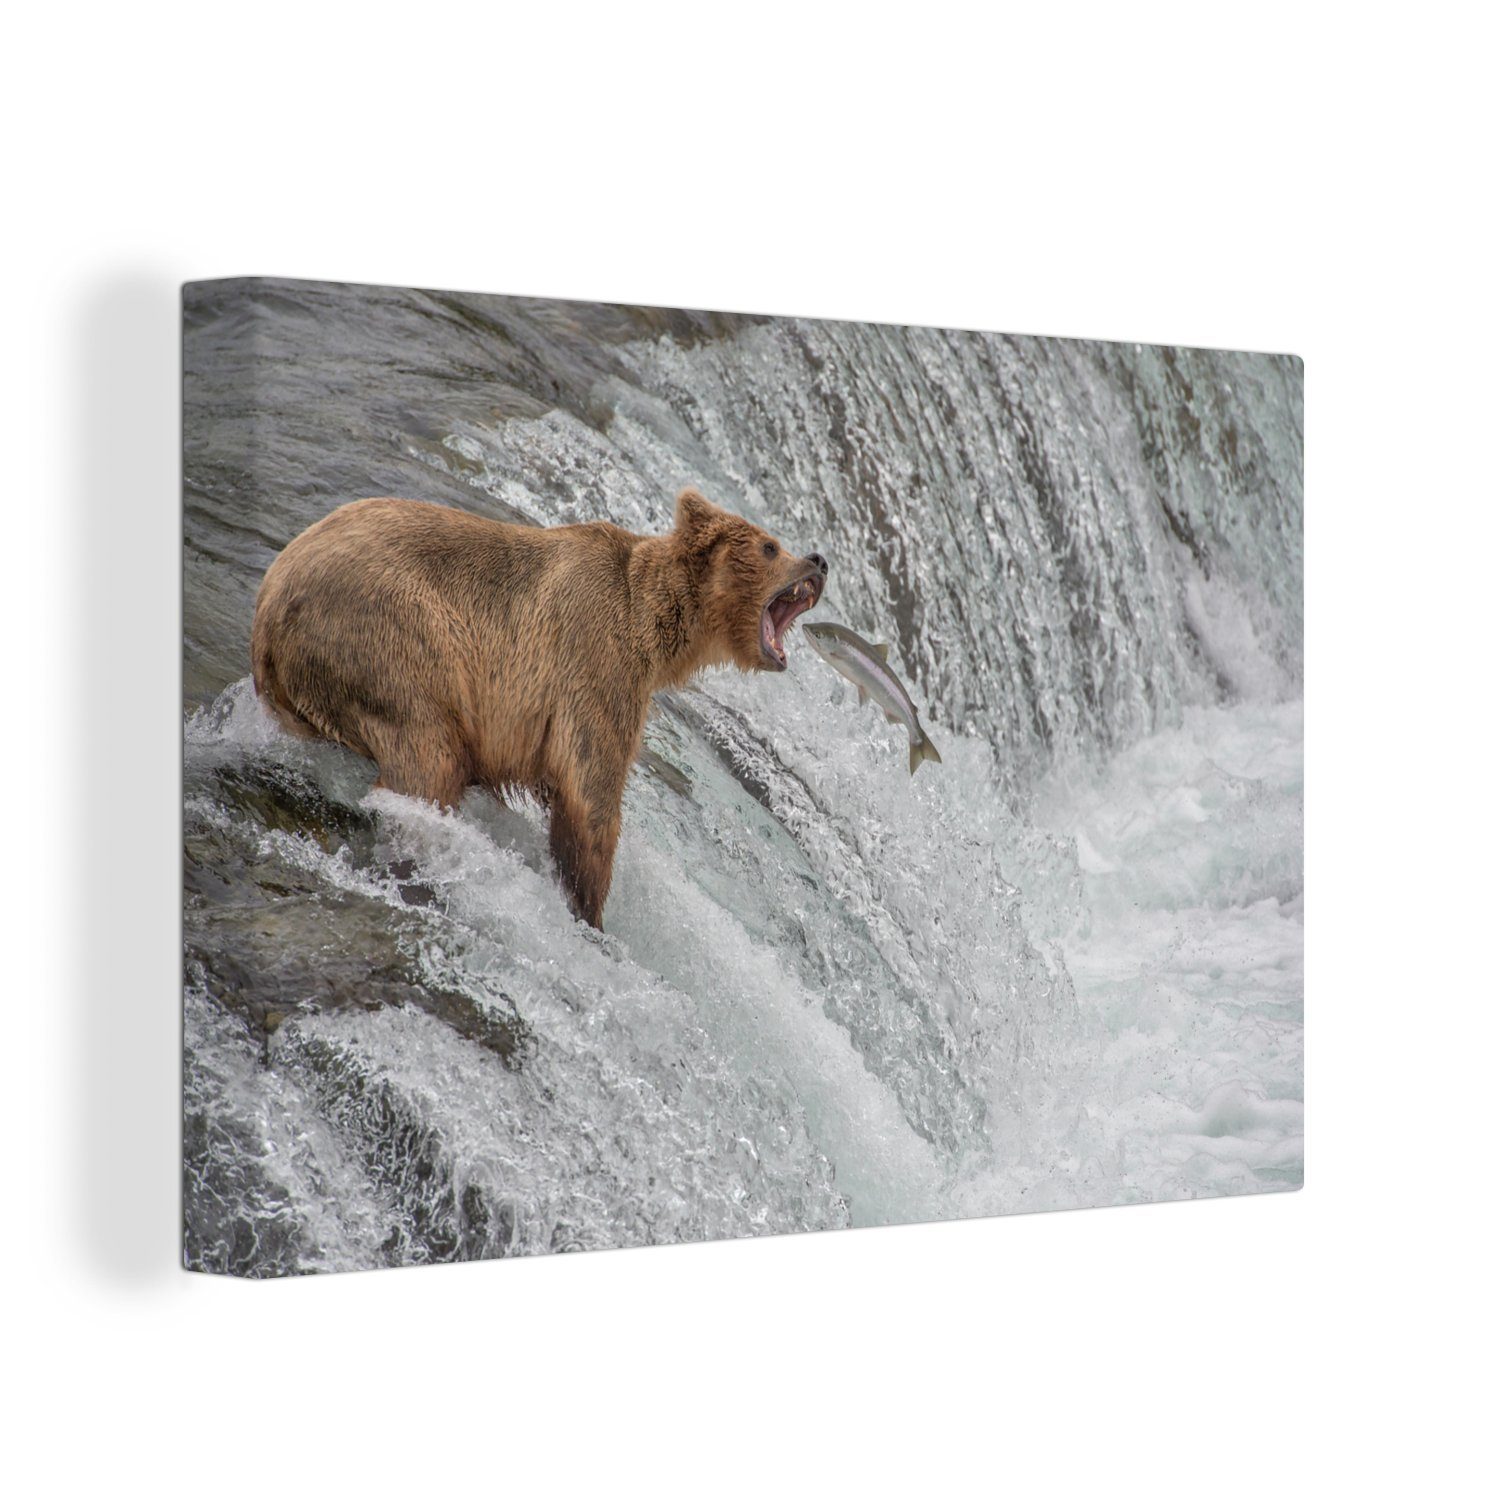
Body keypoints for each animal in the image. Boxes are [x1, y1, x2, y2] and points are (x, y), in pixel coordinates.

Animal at [250, 488, 828, 928]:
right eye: (770, 545)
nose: (819, 560)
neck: (652, 625)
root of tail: (268, 607)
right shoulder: (595, 659)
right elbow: (589, 792)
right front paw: (589, 910)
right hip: (387, 635)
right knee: (428, 755)